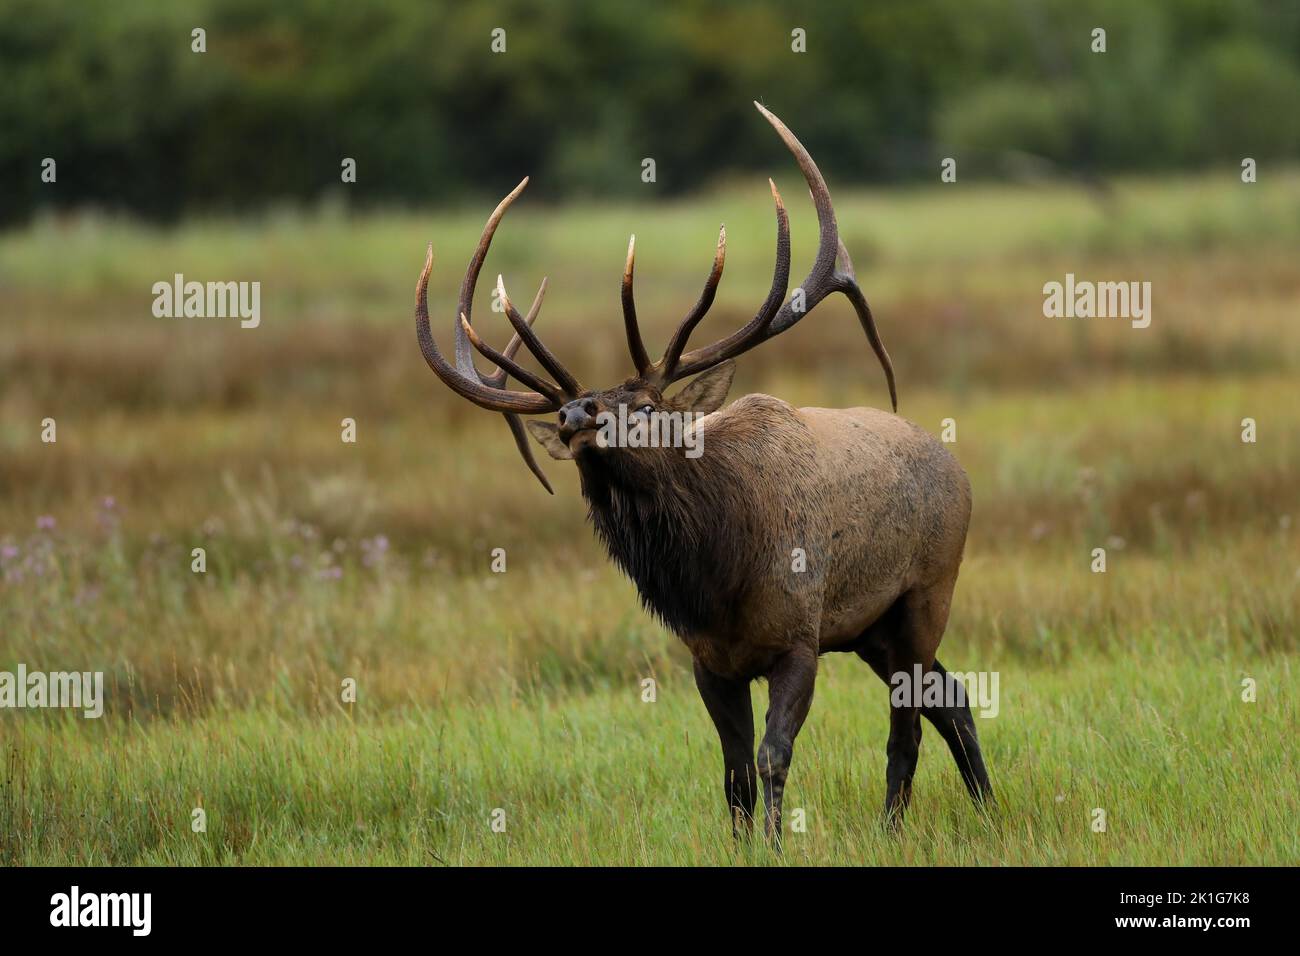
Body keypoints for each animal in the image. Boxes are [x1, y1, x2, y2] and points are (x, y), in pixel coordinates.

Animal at [414, 102, 993, 840]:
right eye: (584, 410)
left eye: (645, 406)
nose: (575, 414)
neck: (718, 573)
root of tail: (957, 468)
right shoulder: (707, 659)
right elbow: (734, 773)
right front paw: (747, 840)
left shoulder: (798, 637)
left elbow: (774, 756)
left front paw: (777, 842)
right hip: (872, 629)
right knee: (953, 698)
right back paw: (988, 809)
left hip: (925, 595)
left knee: (910, 724)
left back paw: (898, 827)